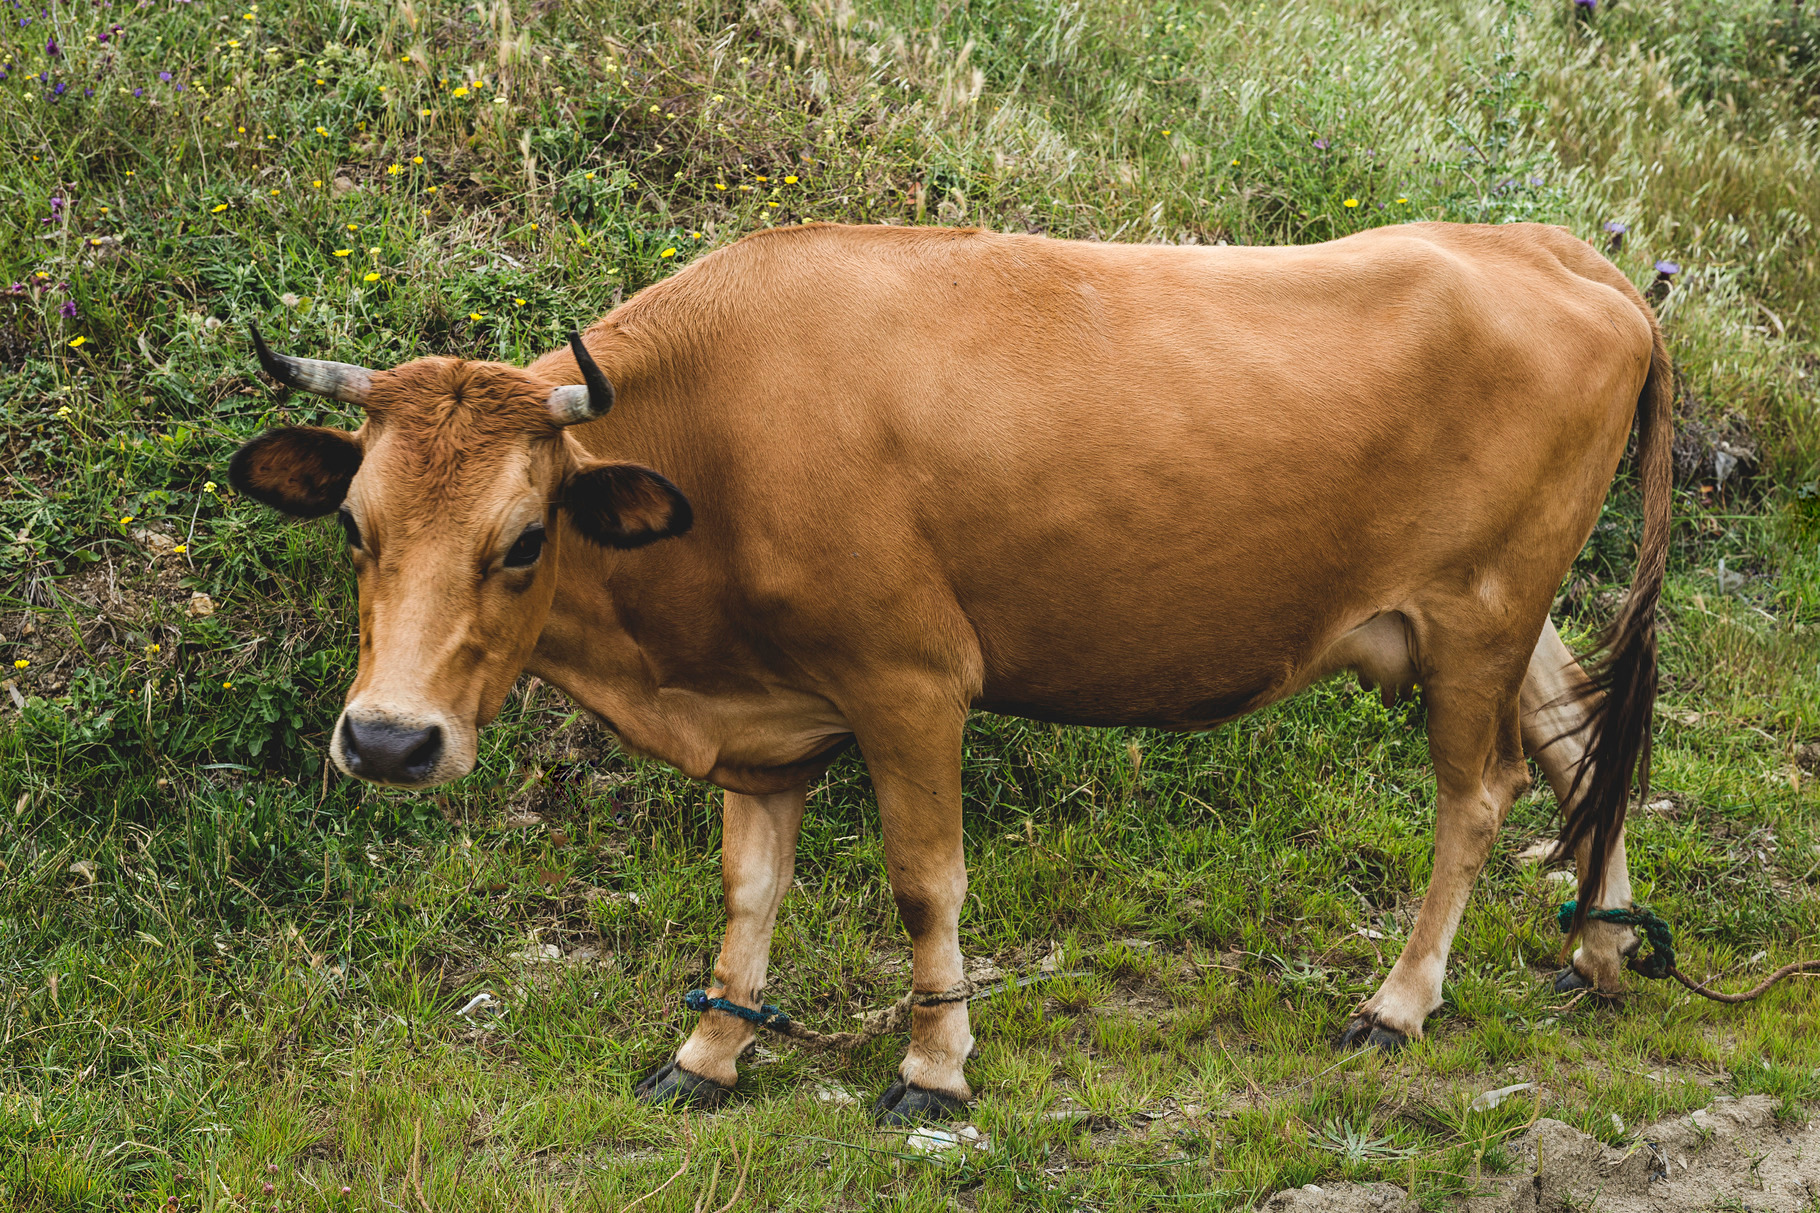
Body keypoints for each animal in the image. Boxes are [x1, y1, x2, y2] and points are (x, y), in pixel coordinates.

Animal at [229, 220, 1669, 1125]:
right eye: (354, 526)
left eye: (524, 539)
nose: (389, 741)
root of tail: (1551, 249)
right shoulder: (763, 719)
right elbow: (748, 888)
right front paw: (709, 1051)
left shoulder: (910, 681)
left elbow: (926, 885)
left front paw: (933, 1069)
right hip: (1505, 612)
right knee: (1572, 735)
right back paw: (1600, 955)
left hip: (1475, 614)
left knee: (1480, 792)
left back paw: (1401, 1002)